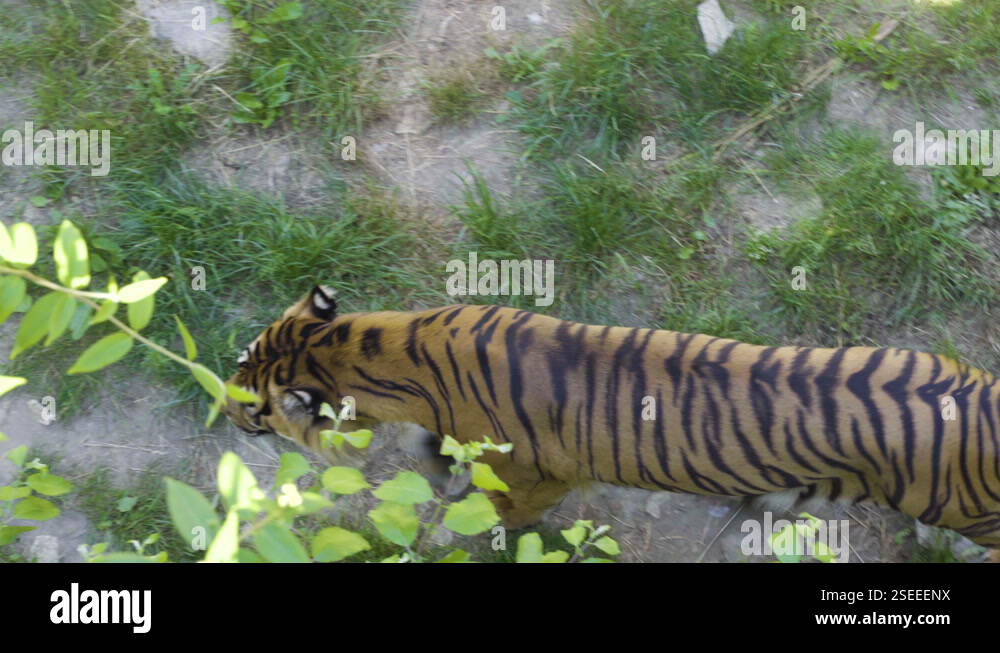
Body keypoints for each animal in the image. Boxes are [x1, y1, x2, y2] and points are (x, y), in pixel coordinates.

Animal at [223, 286, 1000, 561]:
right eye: (239, 359)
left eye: (254, 402)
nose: (223, 405)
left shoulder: (536, 479)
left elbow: (494, 510)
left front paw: (451, 528)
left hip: (969, 506)